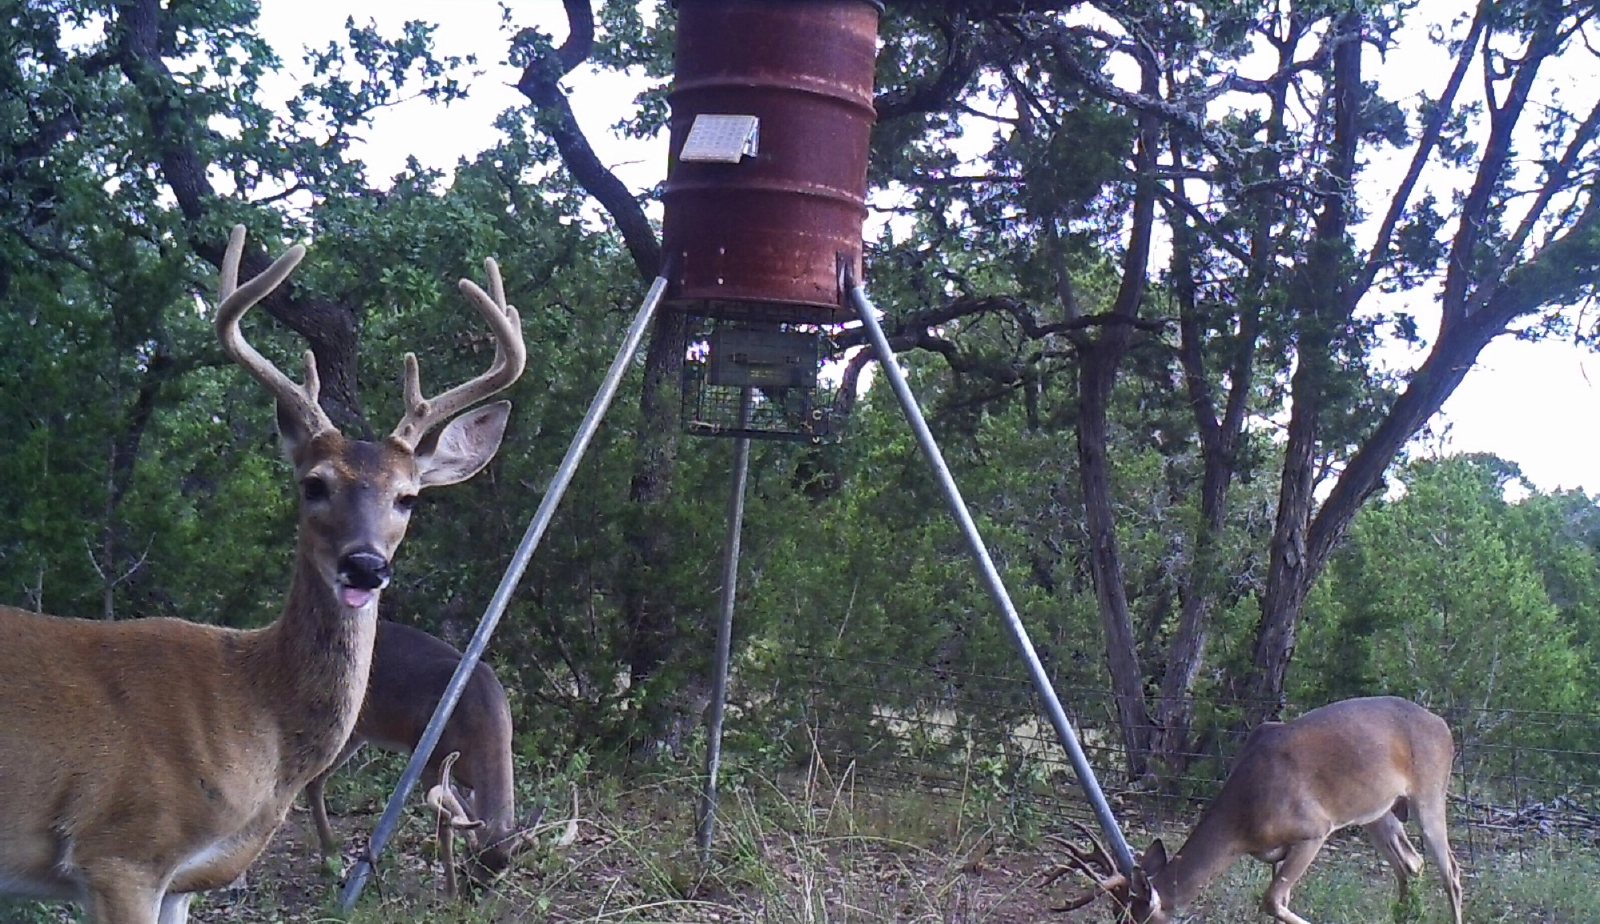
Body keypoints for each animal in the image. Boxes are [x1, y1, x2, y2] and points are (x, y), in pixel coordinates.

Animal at [305, 619, 536, 897]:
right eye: (471, 855)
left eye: (504, 866)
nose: (474, 891)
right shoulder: (431, 756)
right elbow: (444, 826)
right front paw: (451, 893)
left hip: (359, 731)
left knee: (315, 780)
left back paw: (331, 857)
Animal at [1051, 696, 1462, 924]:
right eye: (1114, 913)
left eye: (1135, 919)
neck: (1244, 820)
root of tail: (1444, 725)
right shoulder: (1277, 852)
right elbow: (1281, 901)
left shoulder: (1314, 830)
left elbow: (1272, 901)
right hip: (1378, 813)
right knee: (1410, 864)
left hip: (1430, 792)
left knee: (1451, 871)